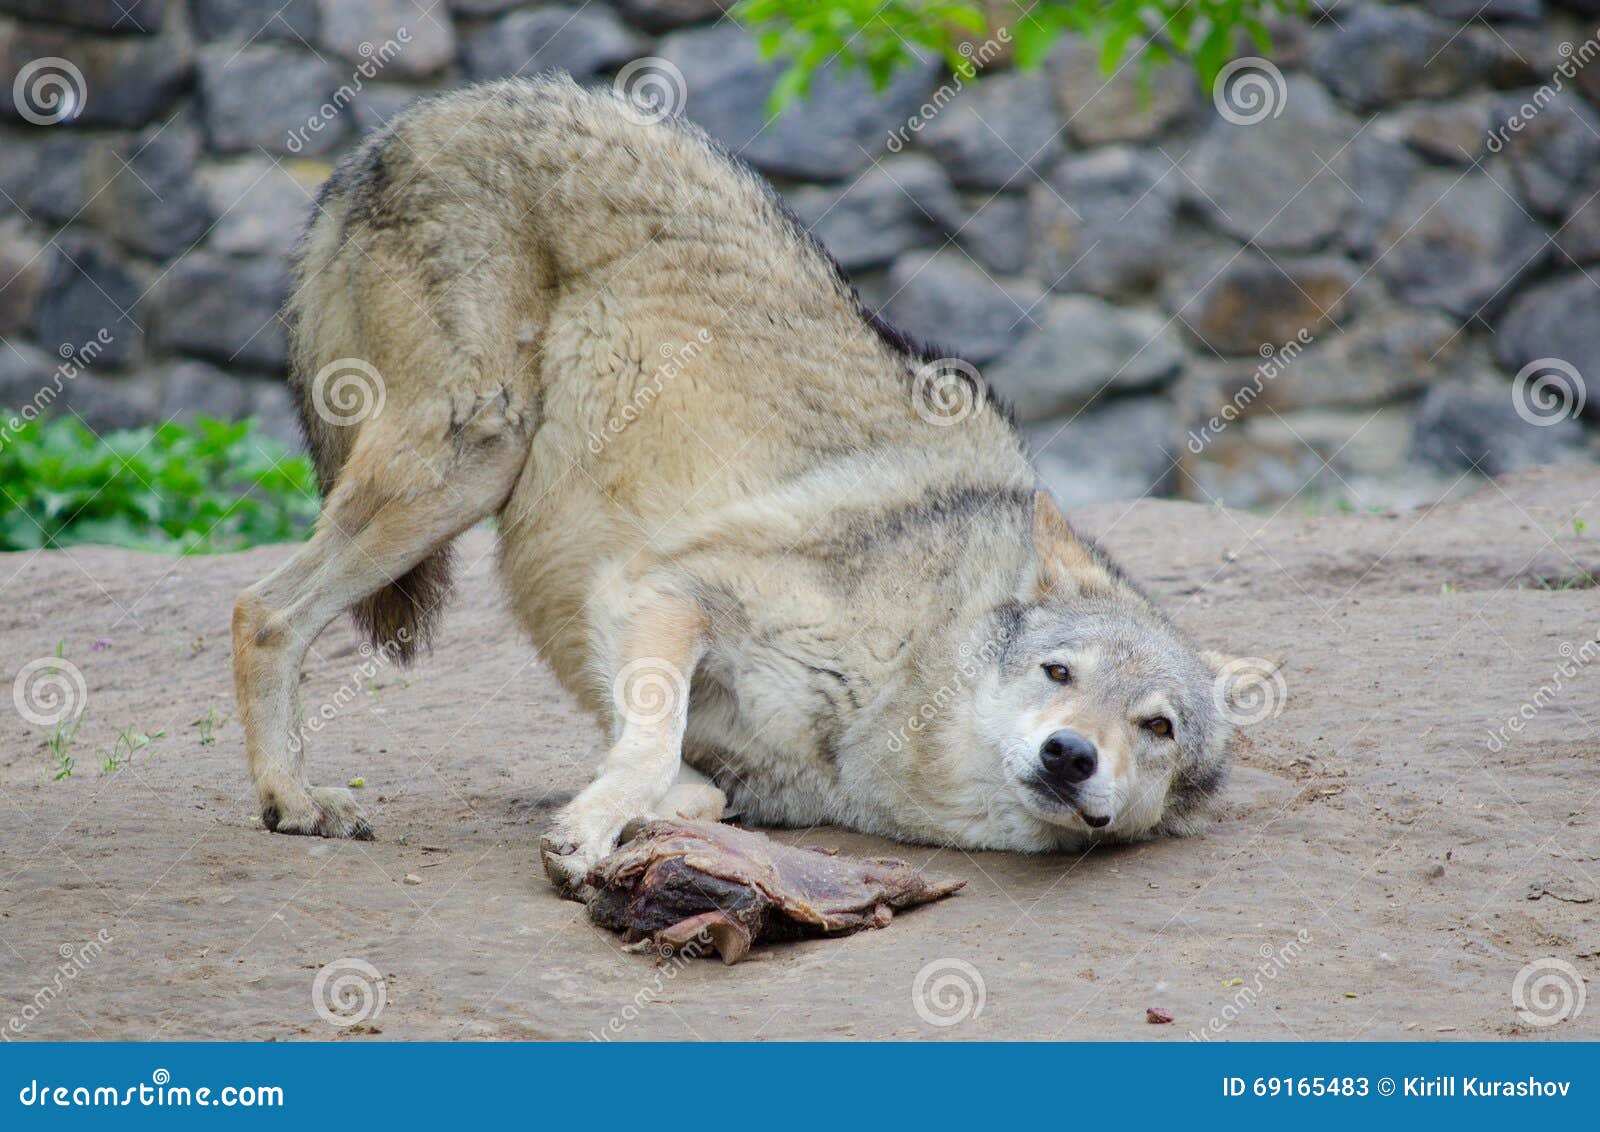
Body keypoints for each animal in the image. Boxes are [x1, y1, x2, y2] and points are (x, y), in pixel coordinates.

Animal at [230, 74, 1242, 897]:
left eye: (1156, 727)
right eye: (1058, 672)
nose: (1071, 753)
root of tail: (406, 121)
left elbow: (692, 785)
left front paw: (622, 820)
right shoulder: (660, 588)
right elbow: (648, 749)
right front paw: (589, 831)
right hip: (469, 462)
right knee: (262, 610)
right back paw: (295, 800)